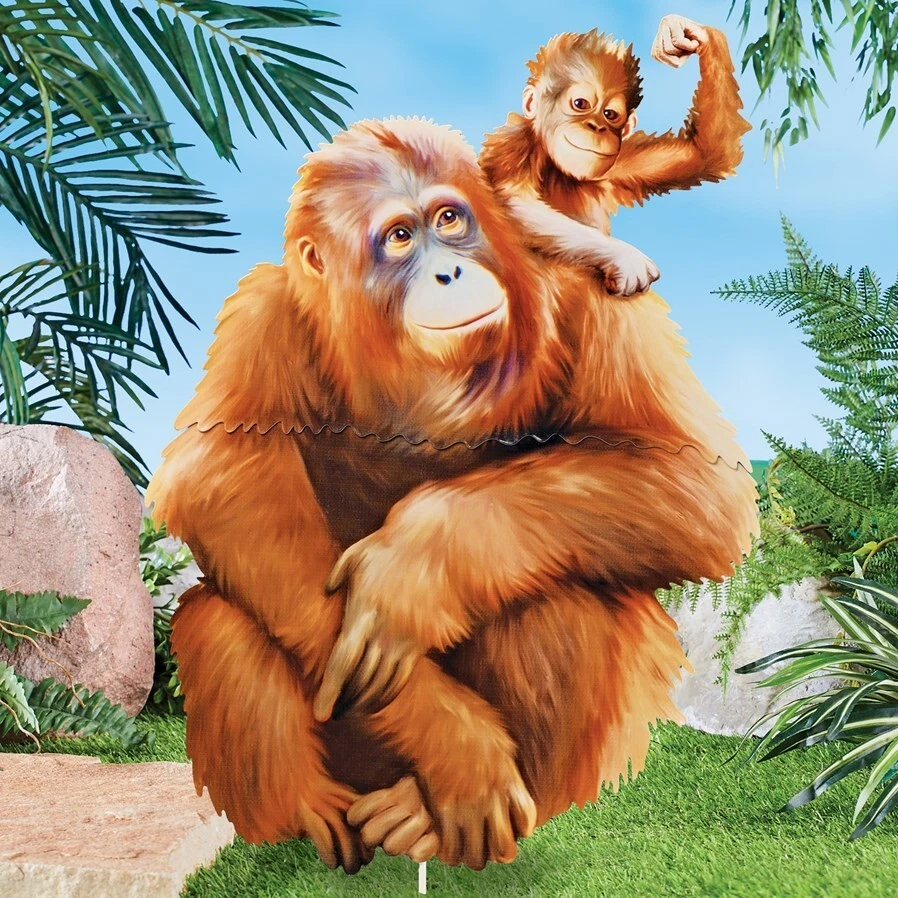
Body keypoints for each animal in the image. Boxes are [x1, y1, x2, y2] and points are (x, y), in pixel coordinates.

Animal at [146, 117, 758, 874]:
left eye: (448, 220)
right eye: (399, 237)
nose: (450, 271)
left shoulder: (585, 295)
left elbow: (695, 476)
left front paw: (413, 570)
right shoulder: (263, 314)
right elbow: (217, 471)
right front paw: (458, 745)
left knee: (561, 602)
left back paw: (428, 821)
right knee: (219, 616)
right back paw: (309, 812)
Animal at [479, 15, 751, 297]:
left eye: (610, 115)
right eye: (581, 104)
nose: (597, 127)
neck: (560, 171)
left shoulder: (619, 166)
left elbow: (703, 153)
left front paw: (687, 32)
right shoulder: (515, 144)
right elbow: (513, 201)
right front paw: (625, 257)